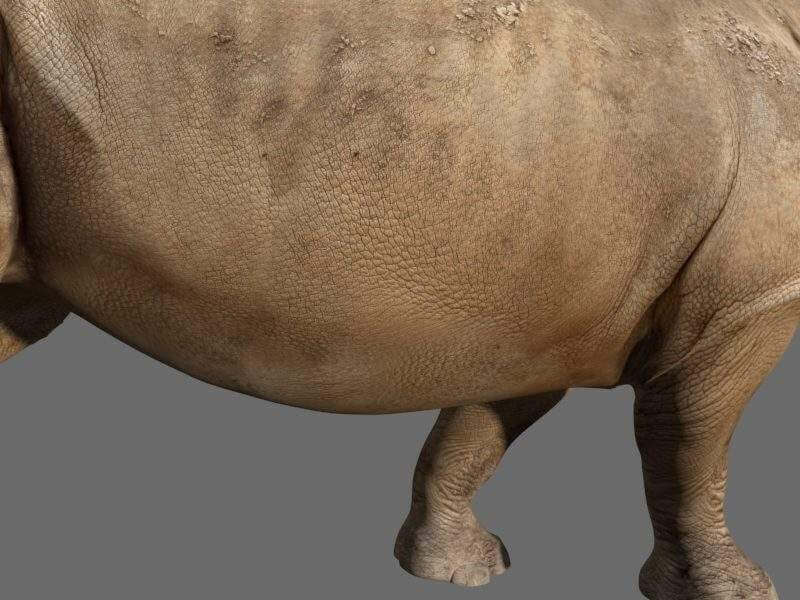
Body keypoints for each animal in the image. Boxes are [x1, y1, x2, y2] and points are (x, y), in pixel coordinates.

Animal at [1, 0, 798, 597]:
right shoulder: (749, 301)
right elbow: (694, 436)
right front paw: (738, 591)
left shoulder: (542, 297)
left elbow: (484, 422)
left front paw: (453, 568)